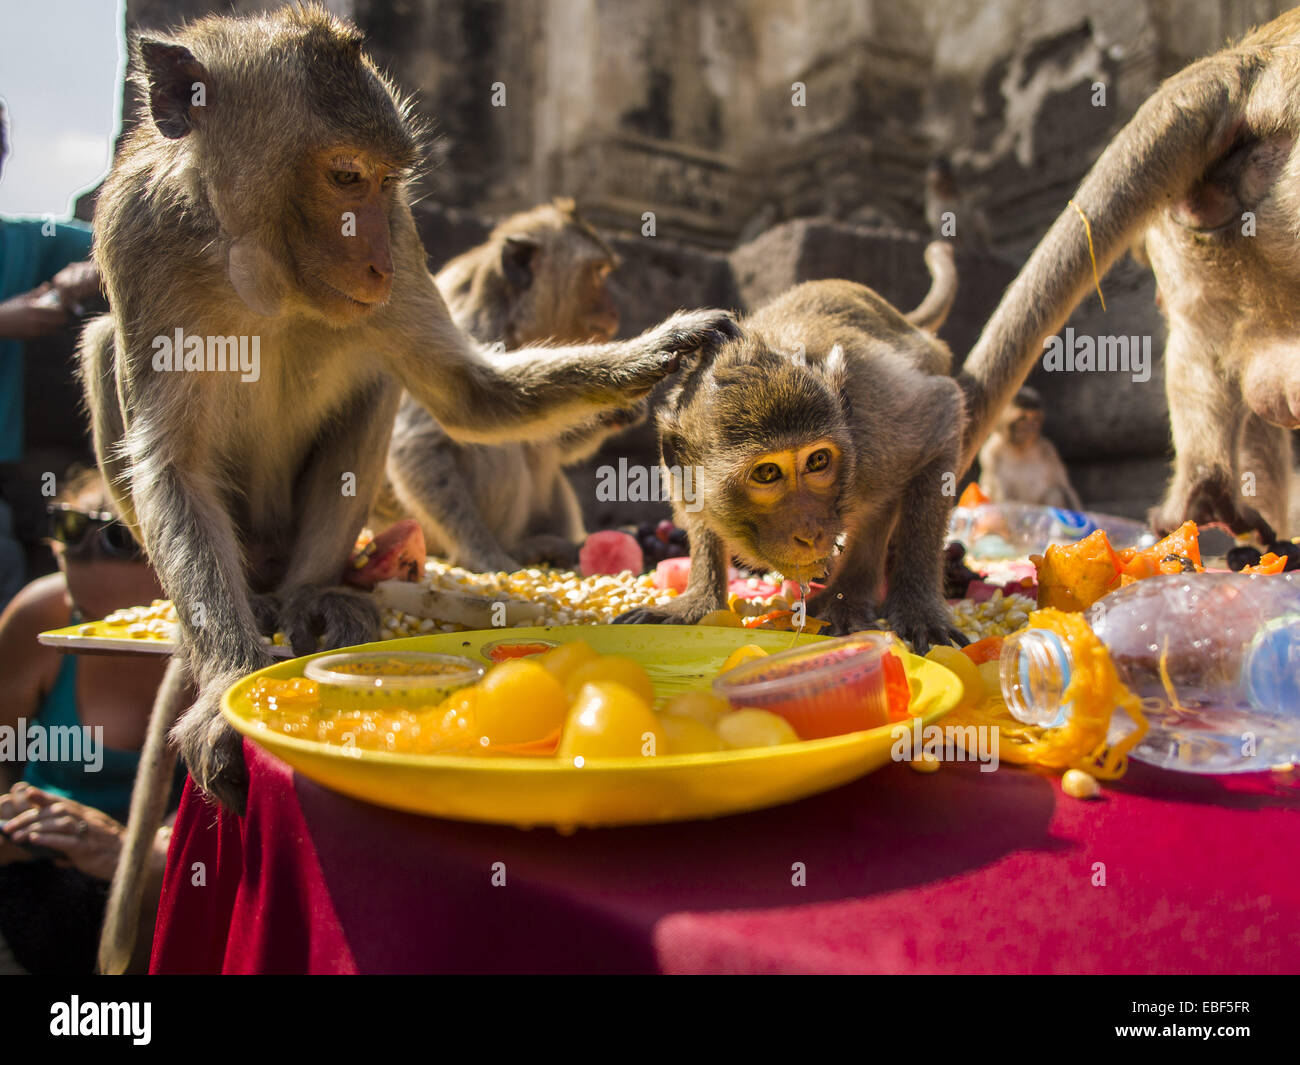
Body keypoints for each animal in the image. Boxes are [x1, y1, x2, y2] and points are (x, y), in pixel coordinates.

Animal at [385, 198, 643, 572]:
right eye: (597, 272)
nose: (615, 309)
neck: (509, 317)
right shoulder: (467, 328)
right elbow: (418, 443)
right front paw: (481, 552)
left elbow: (554, 434)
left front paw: (622, 408)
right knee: (496, 448)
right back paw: (522, 548)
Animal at [616, 241, 968, 651]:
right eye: (767, 472)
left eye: (817, 461)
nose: (810, 534)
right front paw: (697, 601)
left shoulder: (879, 438)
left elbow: (943, 409)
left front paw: (917, 609)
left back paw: (847, 597)